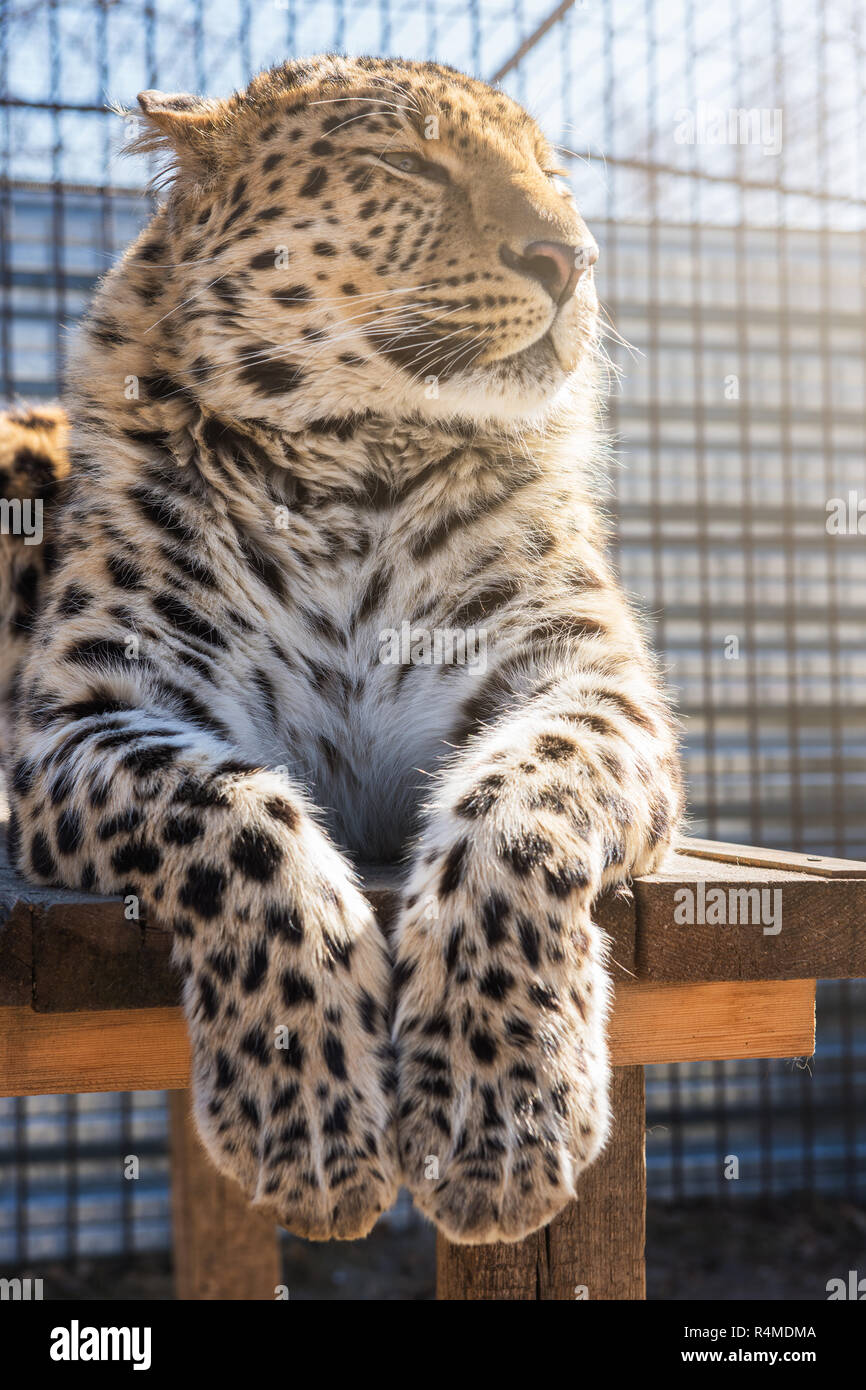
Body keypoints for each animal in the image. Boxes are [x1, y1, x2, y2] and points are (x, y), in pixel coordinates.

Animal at [0, 54, 683, 1246]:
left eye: (554, 175)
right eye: (404, 163)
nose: (573, 258)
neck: (355, 470)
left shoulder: (587, 684)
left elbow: (518, 810)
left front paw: (501, 1109)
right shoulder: (91, 715)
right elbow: (236, 815)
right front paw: (308, 1121)